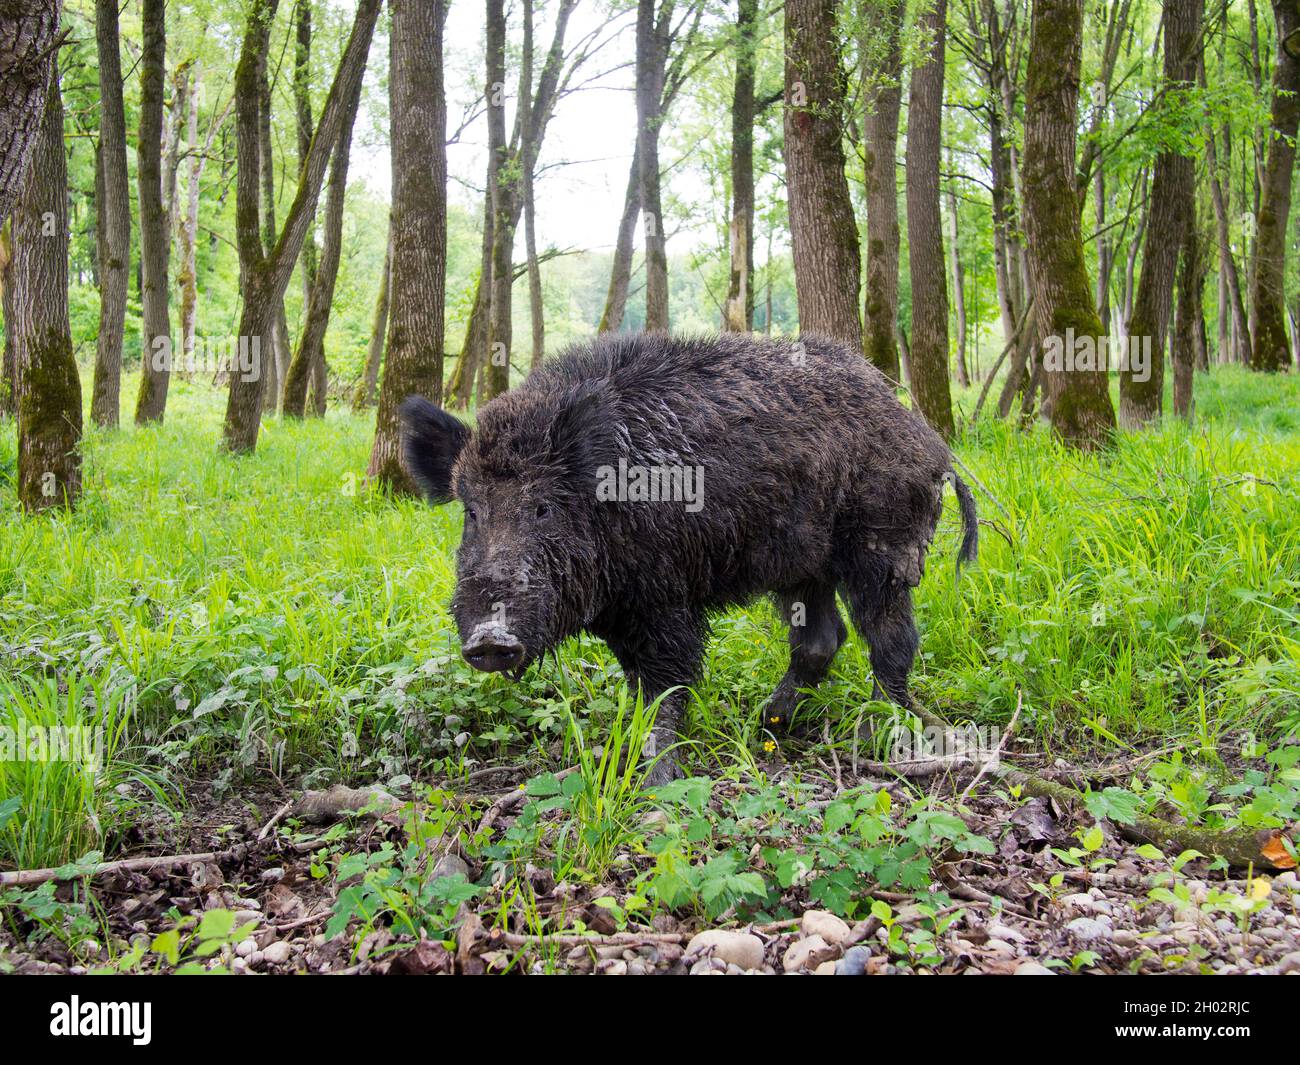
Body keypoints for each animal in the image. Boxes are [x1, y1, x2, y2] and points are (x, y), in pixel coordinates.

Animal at [401, 332, 977, 784]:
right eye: (471, 510)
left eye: (543, 508)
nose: (489, 638)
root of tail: (933, 445)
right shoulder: (625, 612)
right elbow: (641, 688)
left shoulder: (666, 600)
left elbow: (667, 687)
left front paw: (657, 782)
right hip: (802, 567)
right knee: (821, 639)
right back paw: (768, 723)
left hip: (883, 546)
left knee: (891, 640)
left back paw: (879, 731)